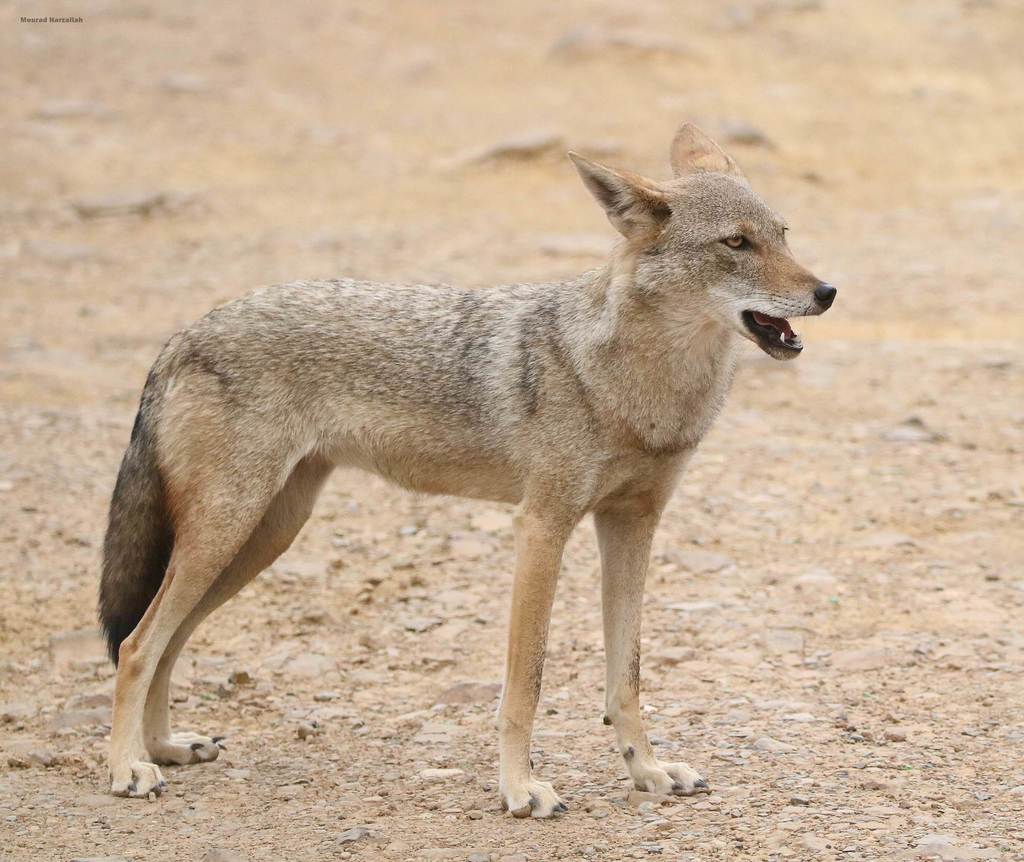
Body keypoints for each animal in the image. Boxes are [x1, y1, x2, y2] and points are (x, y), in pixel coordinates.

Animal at [98, 123, 835, 816]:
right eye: (736, 244)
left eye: (783, 235)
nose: (827, 291)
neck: (638, 388)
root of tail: (184, 334)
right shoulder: (541, 526)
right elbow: (526, 683)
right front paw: (520, 789)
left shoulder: (633, 525)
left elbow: (626, 677)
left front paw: (648, 772)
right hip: (228, 532)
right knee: (137, 644)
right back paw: (129, 768)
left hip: (261, 537)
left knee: (164, 640)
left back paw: (163, 747)